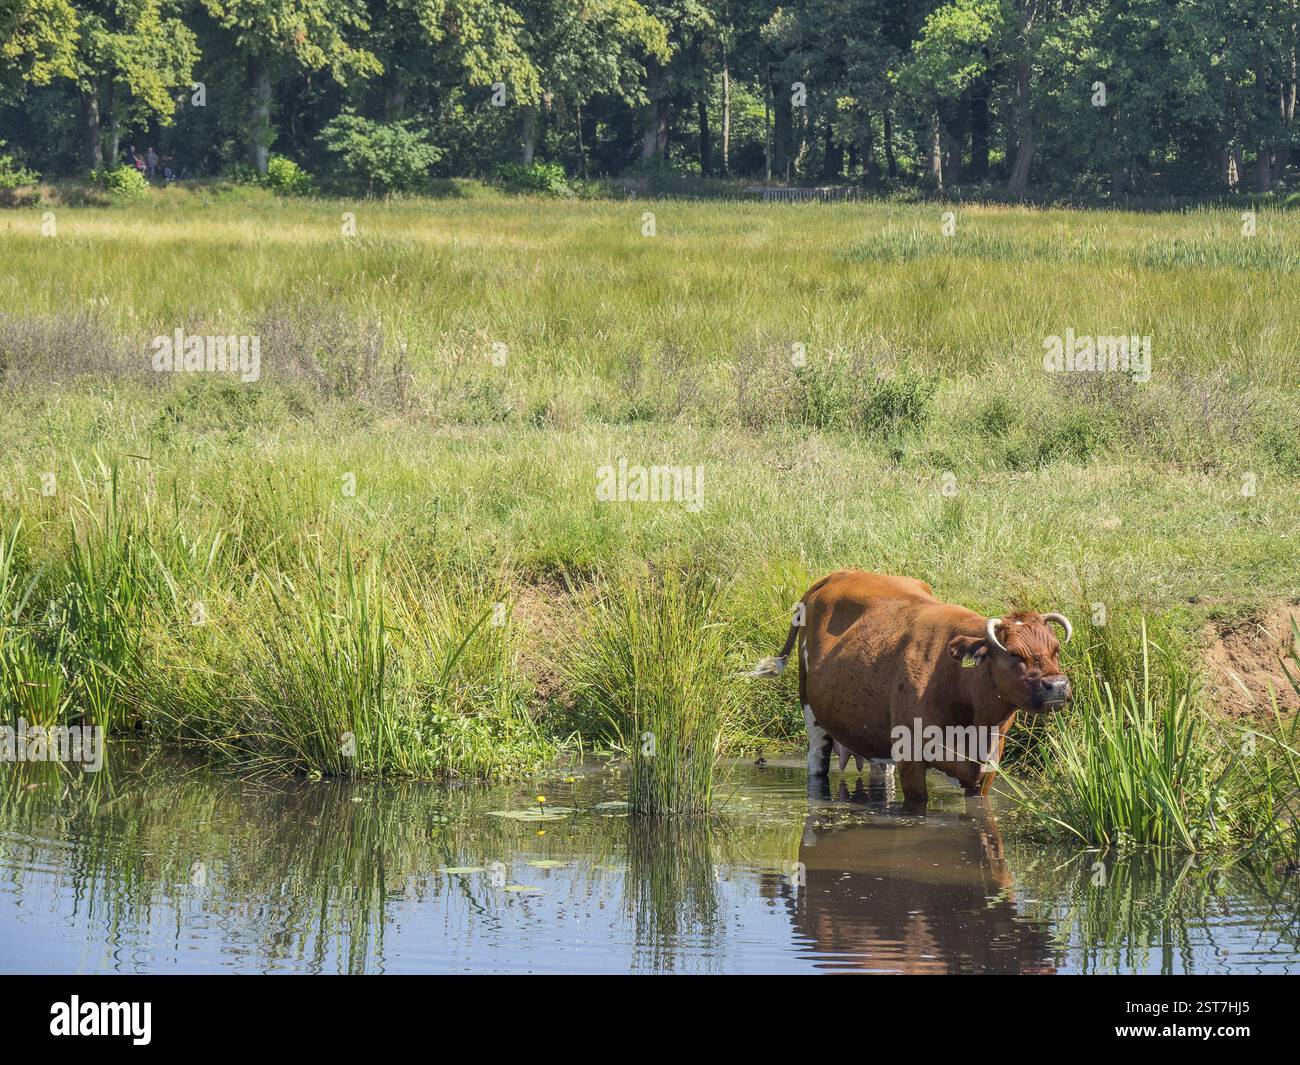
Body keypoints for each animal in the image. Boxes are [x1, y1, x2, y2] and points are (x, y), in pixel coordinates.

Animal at [751, 570, 1073, 805]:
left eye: (1056, 649)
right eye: (1015, 654)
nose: (1057, 685)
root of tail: (837, 574)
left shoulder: (988, 767)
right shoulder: (911, 759)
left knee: (881, 768)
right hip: (812, 715)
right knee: (817, 761)